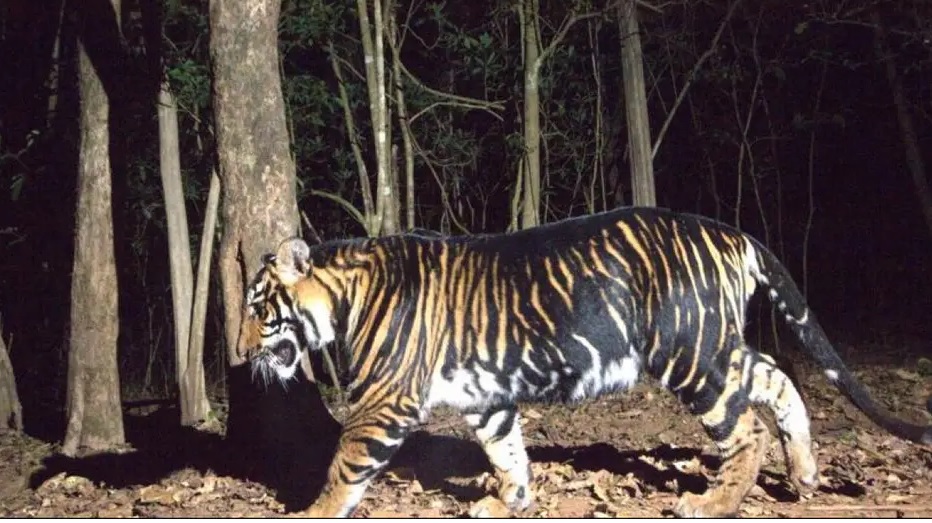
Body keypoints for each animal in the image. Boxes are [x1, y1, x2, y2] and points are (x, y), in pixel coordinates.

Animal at [237, 206, 931, 518]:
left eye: (257, 307)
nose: (238, 353)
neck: (344, 299)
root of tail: (731, 231)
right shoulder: (485, 398)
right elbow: (506, 449)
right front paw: (509, 501)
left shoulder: (383, 401)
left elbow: (344, 466)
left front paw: (312, 514)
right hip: (718, 347)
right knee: (780, 381)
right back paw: (805, 472)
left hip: (690, 355)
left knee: (744, 429)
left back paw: (712, 502)